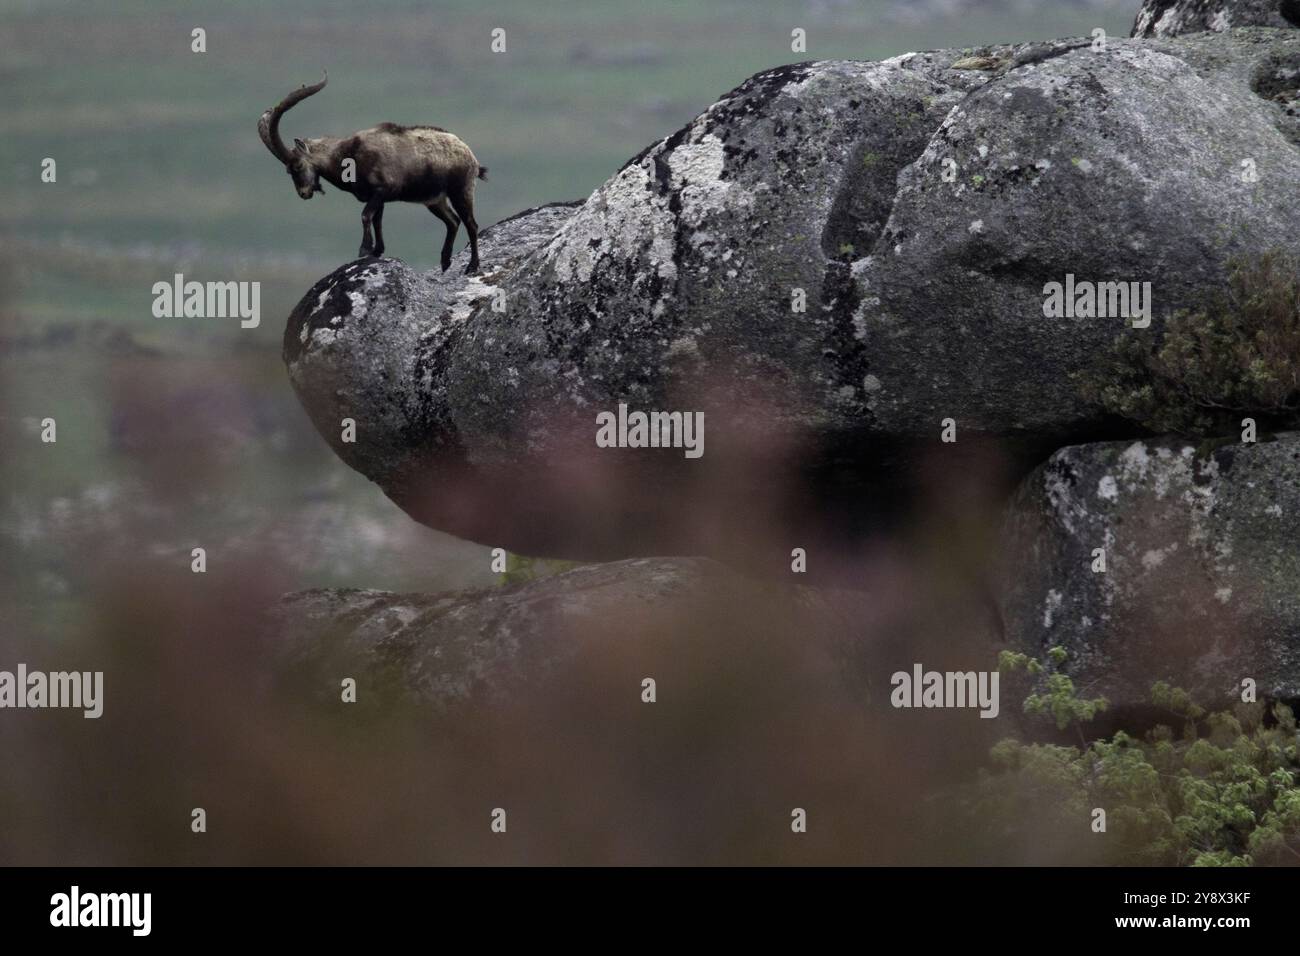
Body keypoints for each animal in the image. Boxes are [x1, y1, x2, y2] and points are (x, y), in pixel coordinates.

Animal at [258, 73, 486, 273]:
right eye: (288, 170)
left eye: (296, 166)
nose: (304, 193)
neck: (349, 154)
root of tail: (471, 157)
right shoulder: (378, 197)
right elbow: (377, 220)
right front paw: (377, 251)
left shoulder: (383, 190)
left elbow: (365, 216)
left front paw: (364, 250)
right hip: (434, 200)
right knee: (453, 221)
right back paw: (445, 261)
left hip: (461, 190)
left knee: (471, 224)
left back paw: (472, 266)